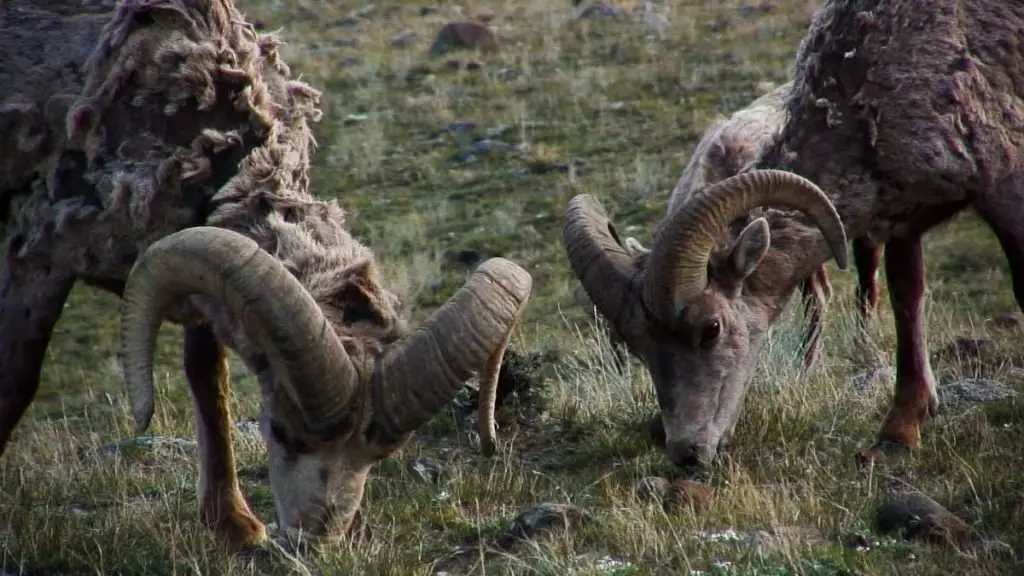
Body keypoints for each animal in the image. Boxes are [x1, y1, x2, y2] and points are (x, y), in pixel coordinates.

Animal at [0, 0, 528, 549]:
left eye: (378, 453)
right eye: (281, 432)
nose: (314, 540)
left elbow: (208, 382)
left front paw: (235, 527)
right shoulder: (39, 256)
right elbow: (15, 382)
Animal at [565, 0, 1019, 467]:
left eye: (711, 328)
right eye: (635, 342)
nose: (687, 451)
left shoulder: (1001, 182)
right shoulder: (902, 220)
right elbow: (907, 303)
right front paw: (898, 433)